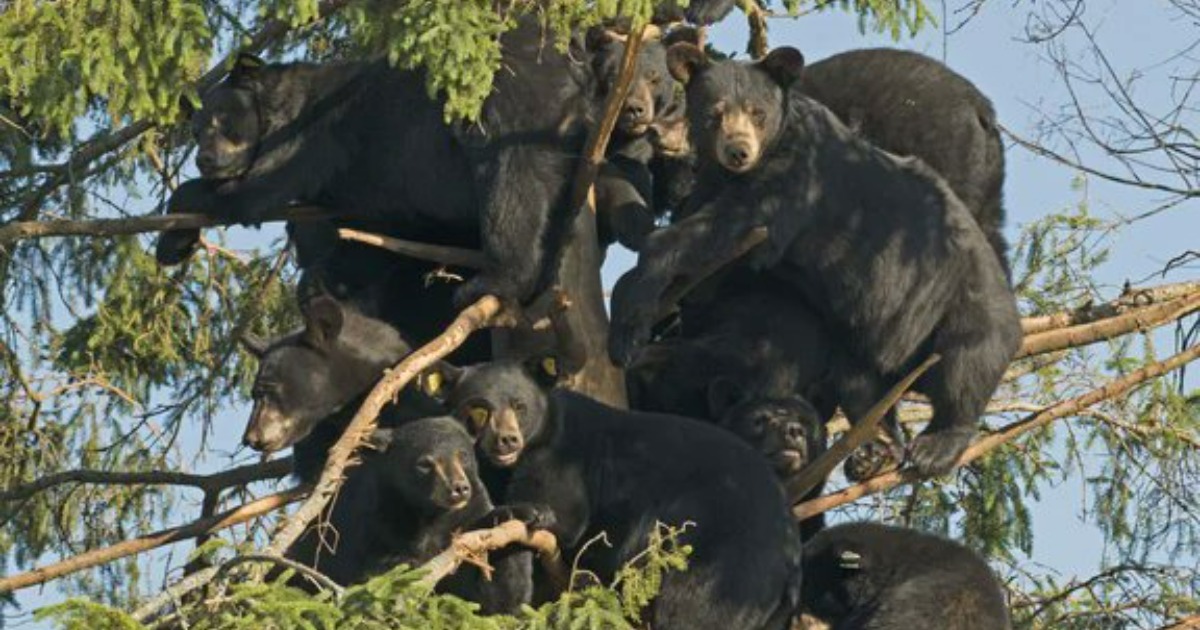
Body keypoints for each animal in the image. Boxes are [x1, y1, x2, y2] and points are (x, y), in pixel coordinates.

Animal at [426, 358, 802, 630]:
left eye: (519, 405)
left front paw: (523, 511)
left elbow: (565, 513)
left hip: (726, 560)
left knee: (697, 610)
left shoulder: (564, 455)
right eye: (479, 409)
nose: (506, 440)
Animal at [608, 45, 1022, 478]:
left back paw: (935, 446)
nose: (738, 151)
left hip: (958, 297)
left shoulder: (796, 180)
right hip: (859, 341)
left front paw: (632, 314)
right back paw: (876, 448)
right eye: (712, 111)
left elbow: (733, 228)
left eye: (757, 113)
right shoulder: (715, 181)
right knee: (862, 388)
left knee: (967, 364)